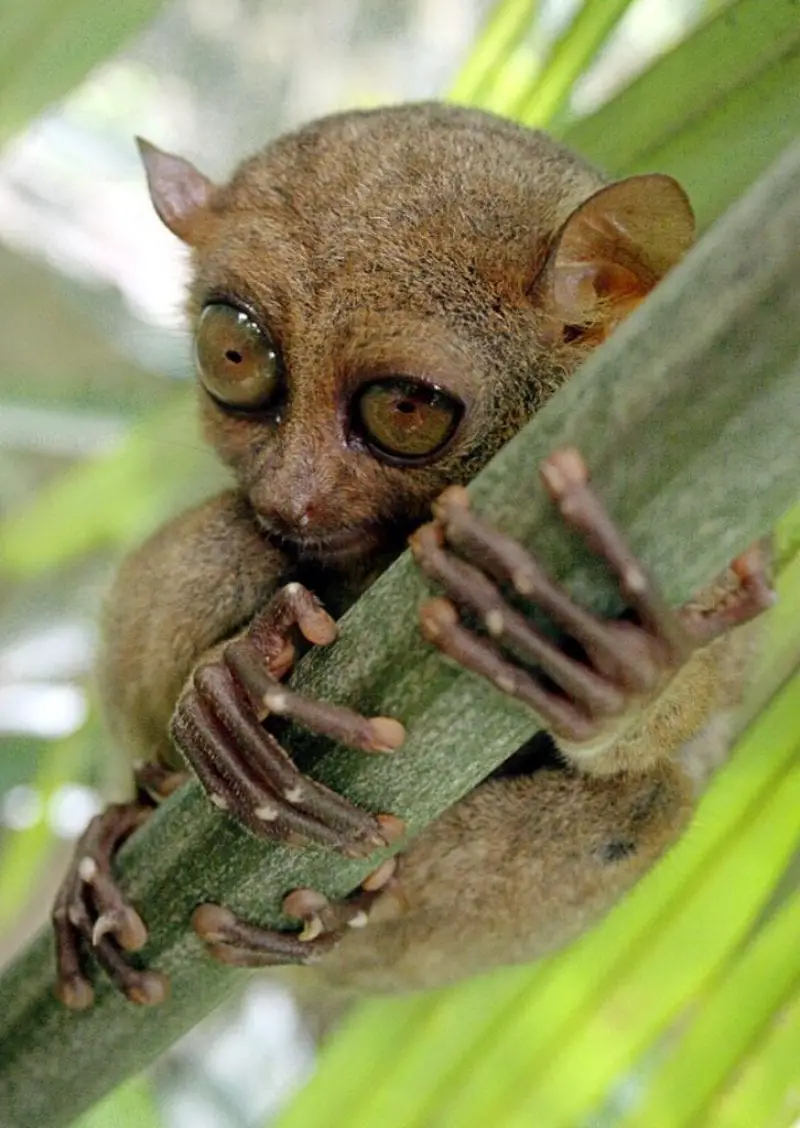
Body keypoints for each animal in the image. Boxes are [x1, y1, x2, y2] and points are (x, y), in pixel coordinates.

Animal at [50, 102, 772, 1009]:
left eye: (404, 409)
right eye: (234, 356)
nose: (292, 498)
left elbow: (693, 699)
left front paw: (619, 669)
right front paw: (226, 685)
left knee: (647, 806)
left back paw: (339, 913)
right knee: (227, 538)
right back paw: (126, 829)